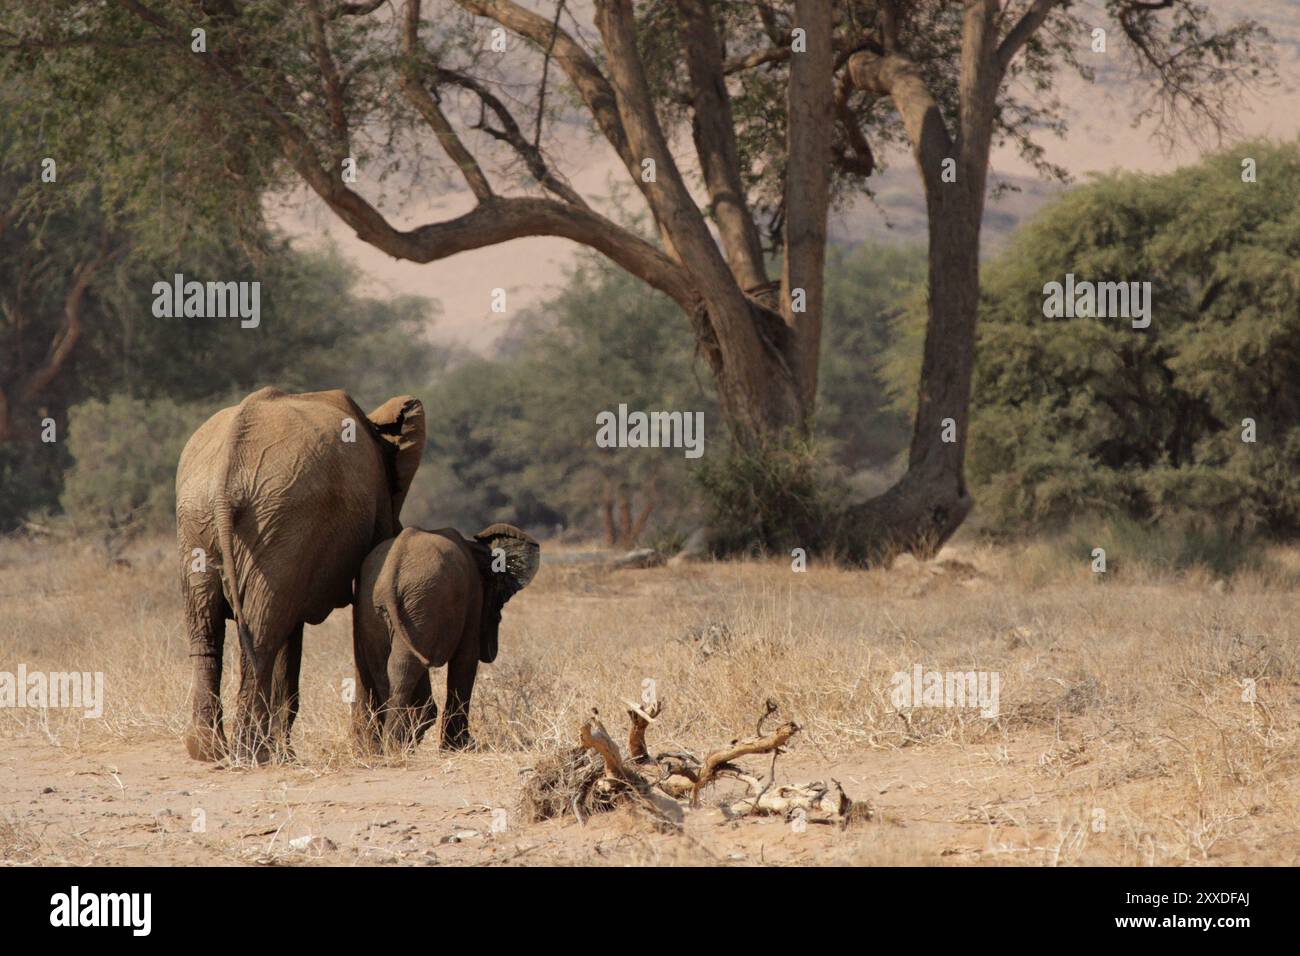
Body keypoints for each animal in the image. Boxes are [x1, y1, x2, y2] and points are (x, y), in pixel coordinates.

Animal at [176, 386, 425, 762]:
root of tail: (224, 475)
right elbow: (363, 605)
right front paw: (367, 750)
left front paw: (288, 753)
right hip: (273, 521)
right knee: (261, 633)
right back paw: (252, 753)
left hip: (210, 523)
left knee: (210, 629)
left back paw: (212, 750)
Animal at [351, 524, 540, 753]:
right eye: (501, 600)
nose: (492, 652)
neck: (475, 547)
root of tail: (389, 580)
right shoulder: (472, 598)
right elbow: (467, 659)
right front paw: (462, 746)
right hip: (422, 605)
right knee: (404, 667)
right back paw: (397, 743)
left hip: (376, 610)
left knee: (385, 667)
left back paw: (396, 742)